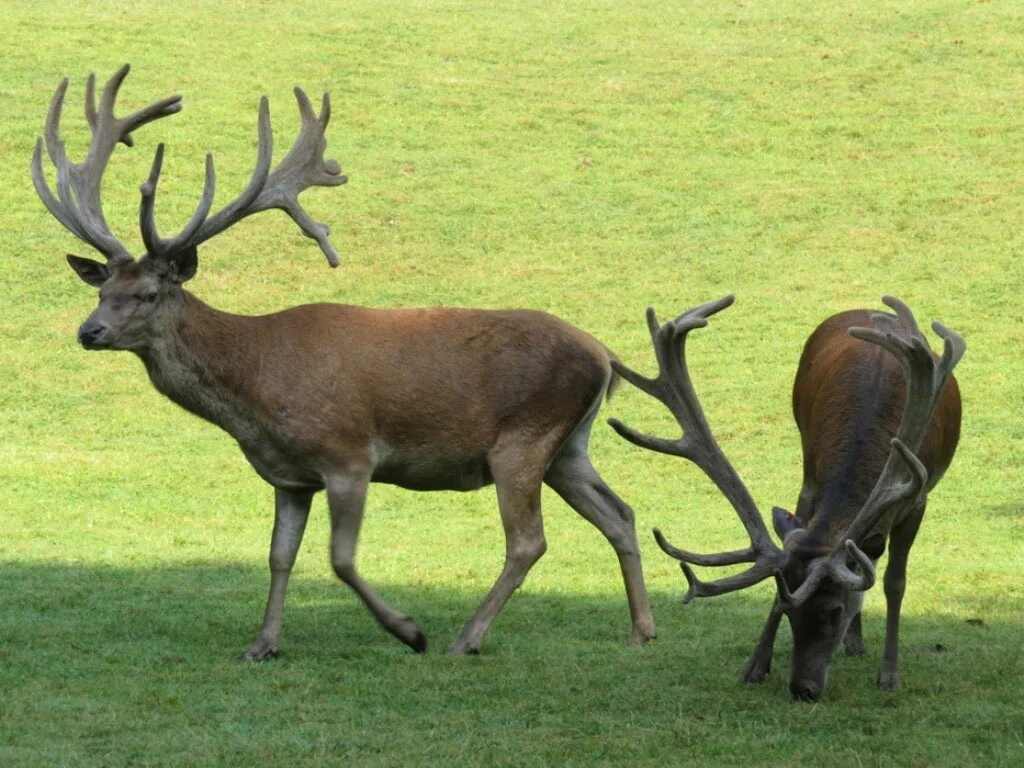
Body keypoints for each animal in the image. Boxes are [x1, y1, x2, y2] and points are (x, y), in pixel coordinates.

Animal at [36, 67, 655, 663]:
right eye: (102, 290)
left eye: (146, 294)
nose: (89, 332)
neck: (253, 395)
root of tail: (605, 356)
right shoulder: (289, 476)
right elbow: (279, 555)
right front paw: (263, 644)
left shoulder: (348, 454)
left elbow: (340, 558)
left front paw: (409, 631)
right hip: (568, 446)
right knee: (619, 513)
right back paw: (641, 630)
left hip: (524, 437)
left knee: (528, 540)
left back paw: (466, 638)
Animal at [610, 296, 962, 704]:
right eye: (791, 613)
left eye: (834, 611)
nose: (802, 690)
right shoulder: (810, 483)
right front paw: (755, 665)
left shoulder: (917, 498)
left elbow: (895, 582)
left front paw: (889, 675)